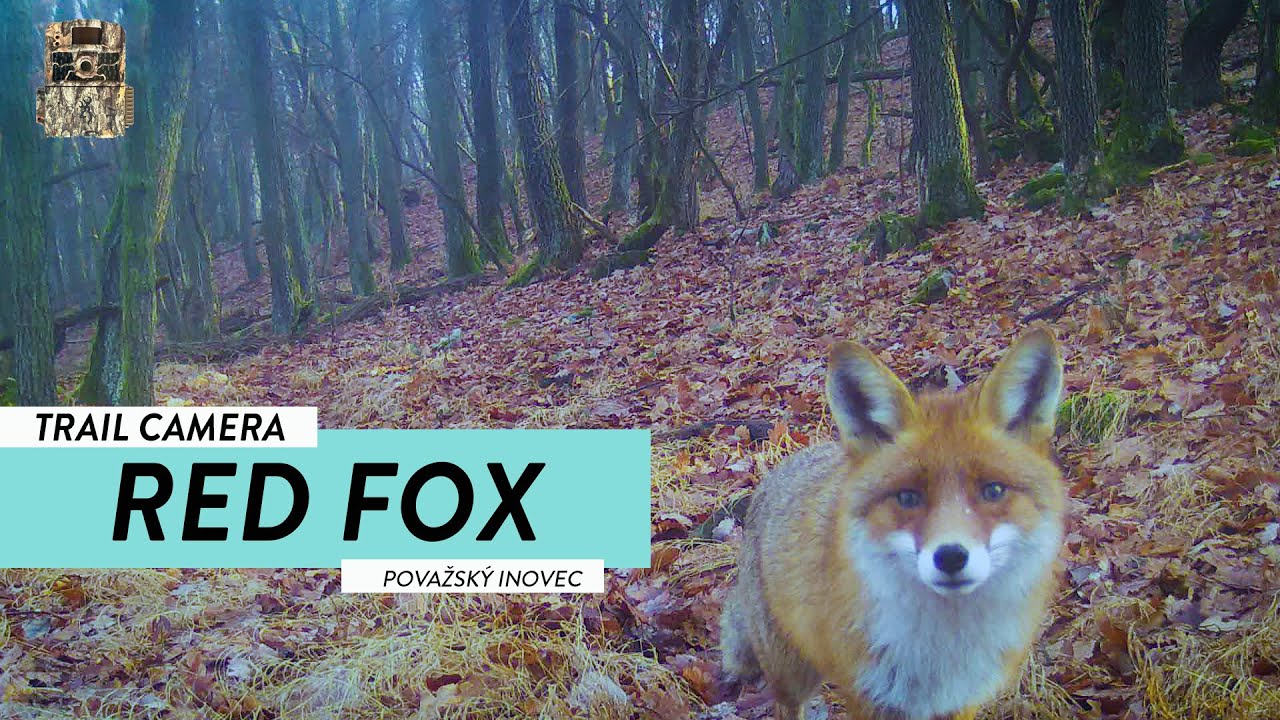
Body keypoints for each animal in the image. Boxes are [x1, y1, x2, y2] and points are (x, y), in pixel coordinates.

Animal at [720, 324, 1068, 720]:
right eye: (908, 497)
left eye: (992, 490)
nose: (950, 557)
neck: (943, 651)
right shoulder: (869, 695)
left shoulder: (960, 700)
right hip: (792, 675)